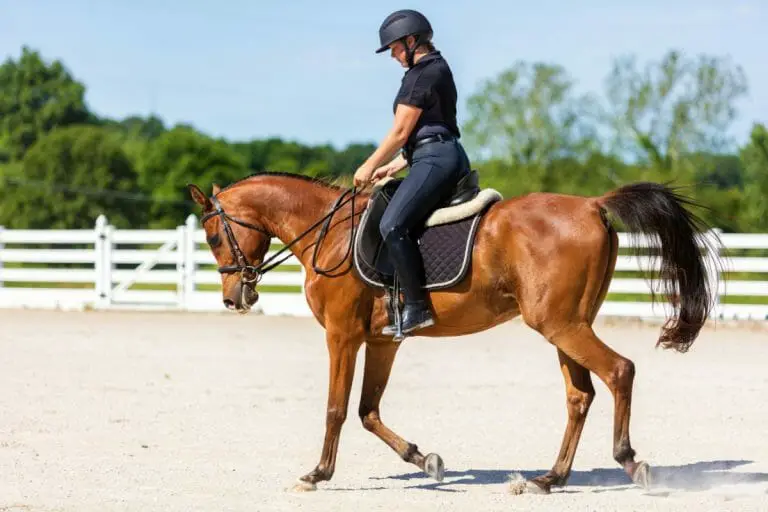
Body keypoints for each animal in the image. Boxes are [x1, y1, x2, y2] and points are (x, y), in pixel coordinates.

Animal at [187, 170, 721, 494]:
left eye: (212, 236)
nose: (234, 299)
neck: (329, 233)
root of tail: (591, 204)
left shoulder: (342, 336)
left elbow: (337, 409)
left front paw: (317, 474)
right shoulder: (382, 340)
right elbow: (367, 411)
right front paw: (425, 459)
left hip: (561, 324)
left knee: (619, 371)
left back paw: (629, 460)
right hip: (565, 325)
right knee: (580, 395)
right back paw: (549, 478)